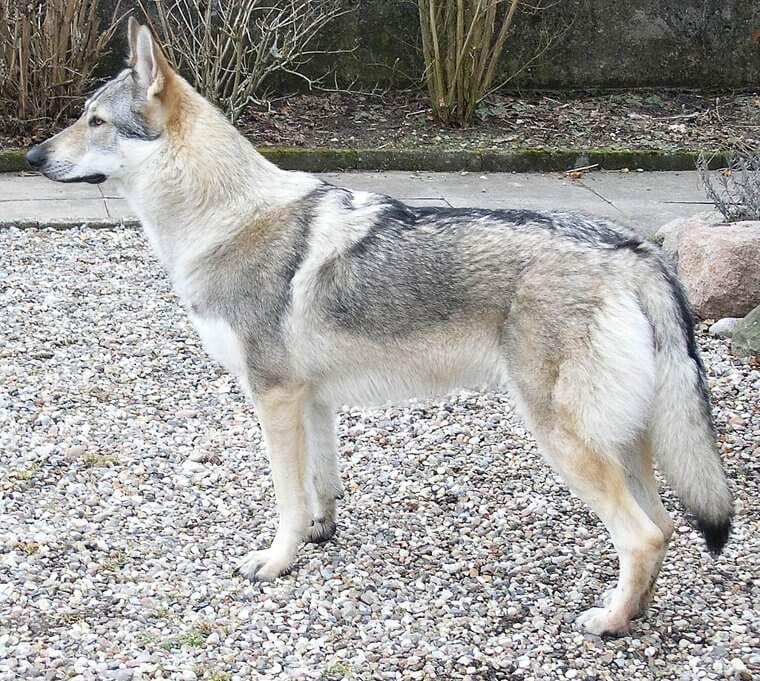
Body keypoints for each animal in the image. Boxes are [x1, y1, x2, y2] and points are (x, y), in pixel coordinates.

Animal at [26, 19, 733, 636]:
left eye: (94, 120)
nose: (31, 155)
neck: (224, 219)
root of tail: (633, 249)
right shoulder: (311, 401)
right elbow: (322, 486)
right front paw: (321, 535)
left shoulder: (273, 398)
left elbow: (287, 497)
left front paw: (277, 562)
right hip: (624, 440)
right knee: (668, 527)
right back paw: (634, 611)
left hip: (566, 441)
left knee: (643, 535)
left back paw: (609, 623)